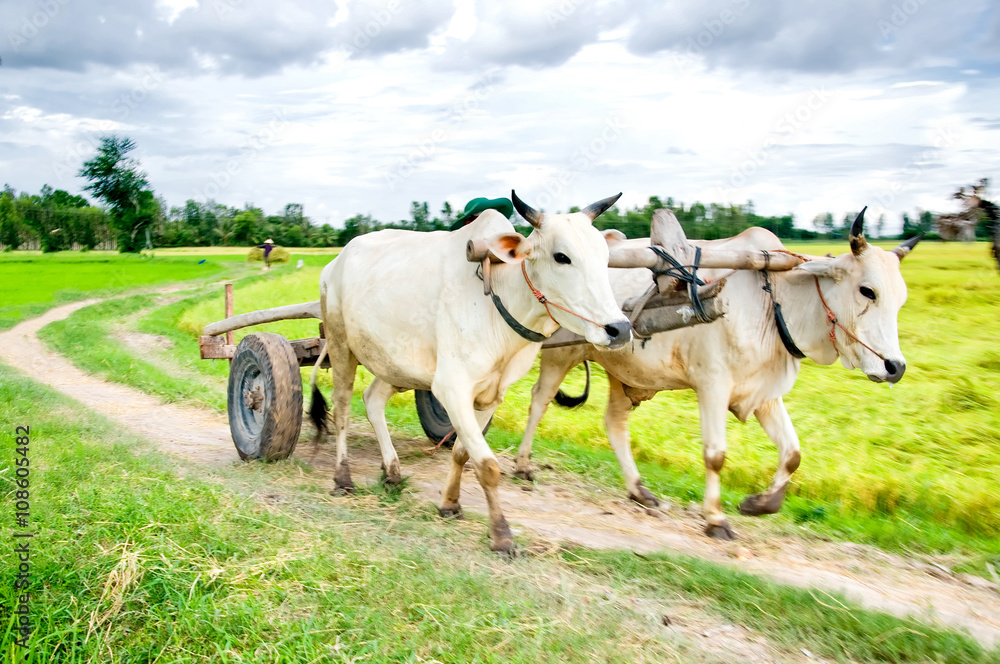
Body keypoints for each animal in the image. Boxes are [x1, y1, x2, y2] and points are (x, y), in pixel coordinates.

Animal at [310, 191, 632, 553]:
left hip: (392, 361)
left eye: (605, 257)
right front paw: (502, 534)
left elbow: (463, 453)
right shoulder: (452, 388)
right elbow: (488, 466)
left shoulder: (490, 396)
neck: (499, 299)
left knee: (373, 399)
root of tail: (336, 261)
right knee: (342, 410)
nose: (619, 329)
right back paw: (342, 478)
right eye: (562, 257)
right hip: (340, 345)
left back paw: (391, 470)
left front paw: (450, 503)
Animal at [514, 210, 920, 539]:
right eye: (867, 290)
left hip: (625, 373)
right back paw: (522, 465)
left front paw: (758, 504)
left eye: (901, 299)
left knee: (614, 423)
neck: (773, 300)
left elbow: (792, 454)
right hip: (561, 354)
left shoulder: (764, 393)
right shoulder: (712, 384)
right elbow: (715, 455)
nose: (895, 366)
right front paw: (715, 519)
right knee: (539, 401)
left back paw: (640, 491)